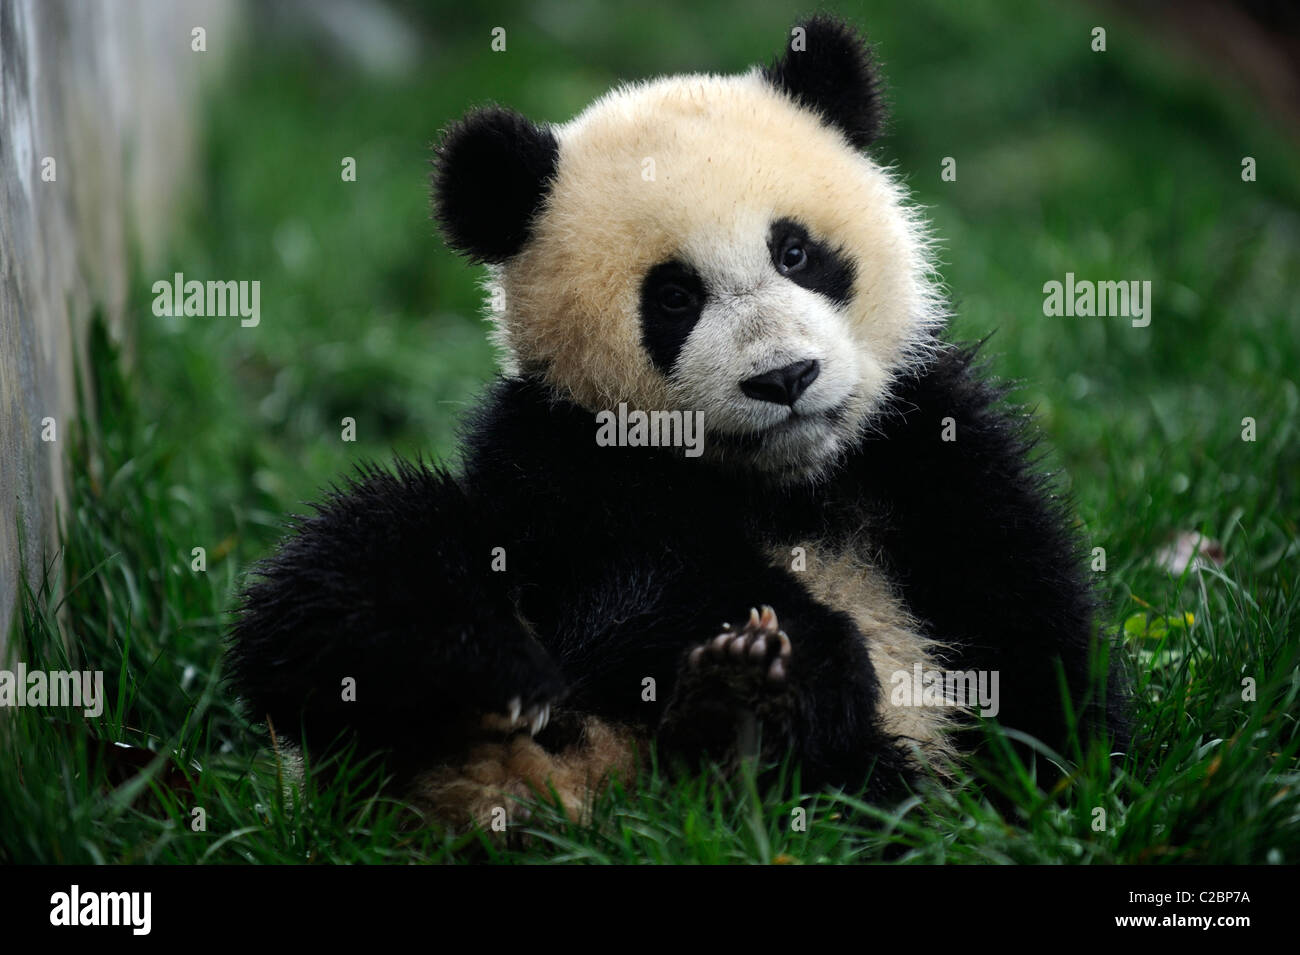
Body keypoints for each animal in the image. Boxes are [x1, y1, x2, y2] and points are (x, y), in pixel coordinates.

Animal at [226, 15, 1129, 828]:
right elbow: (637, 588)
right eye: (673, 296)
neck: (784, 481)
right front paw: (794, 657)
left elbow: (1021, 602)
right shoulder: (552, 459)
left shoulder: (919, 433)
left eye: (794, 252)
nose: (784, 377)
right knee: (358, 570)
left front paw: (1059, 775)